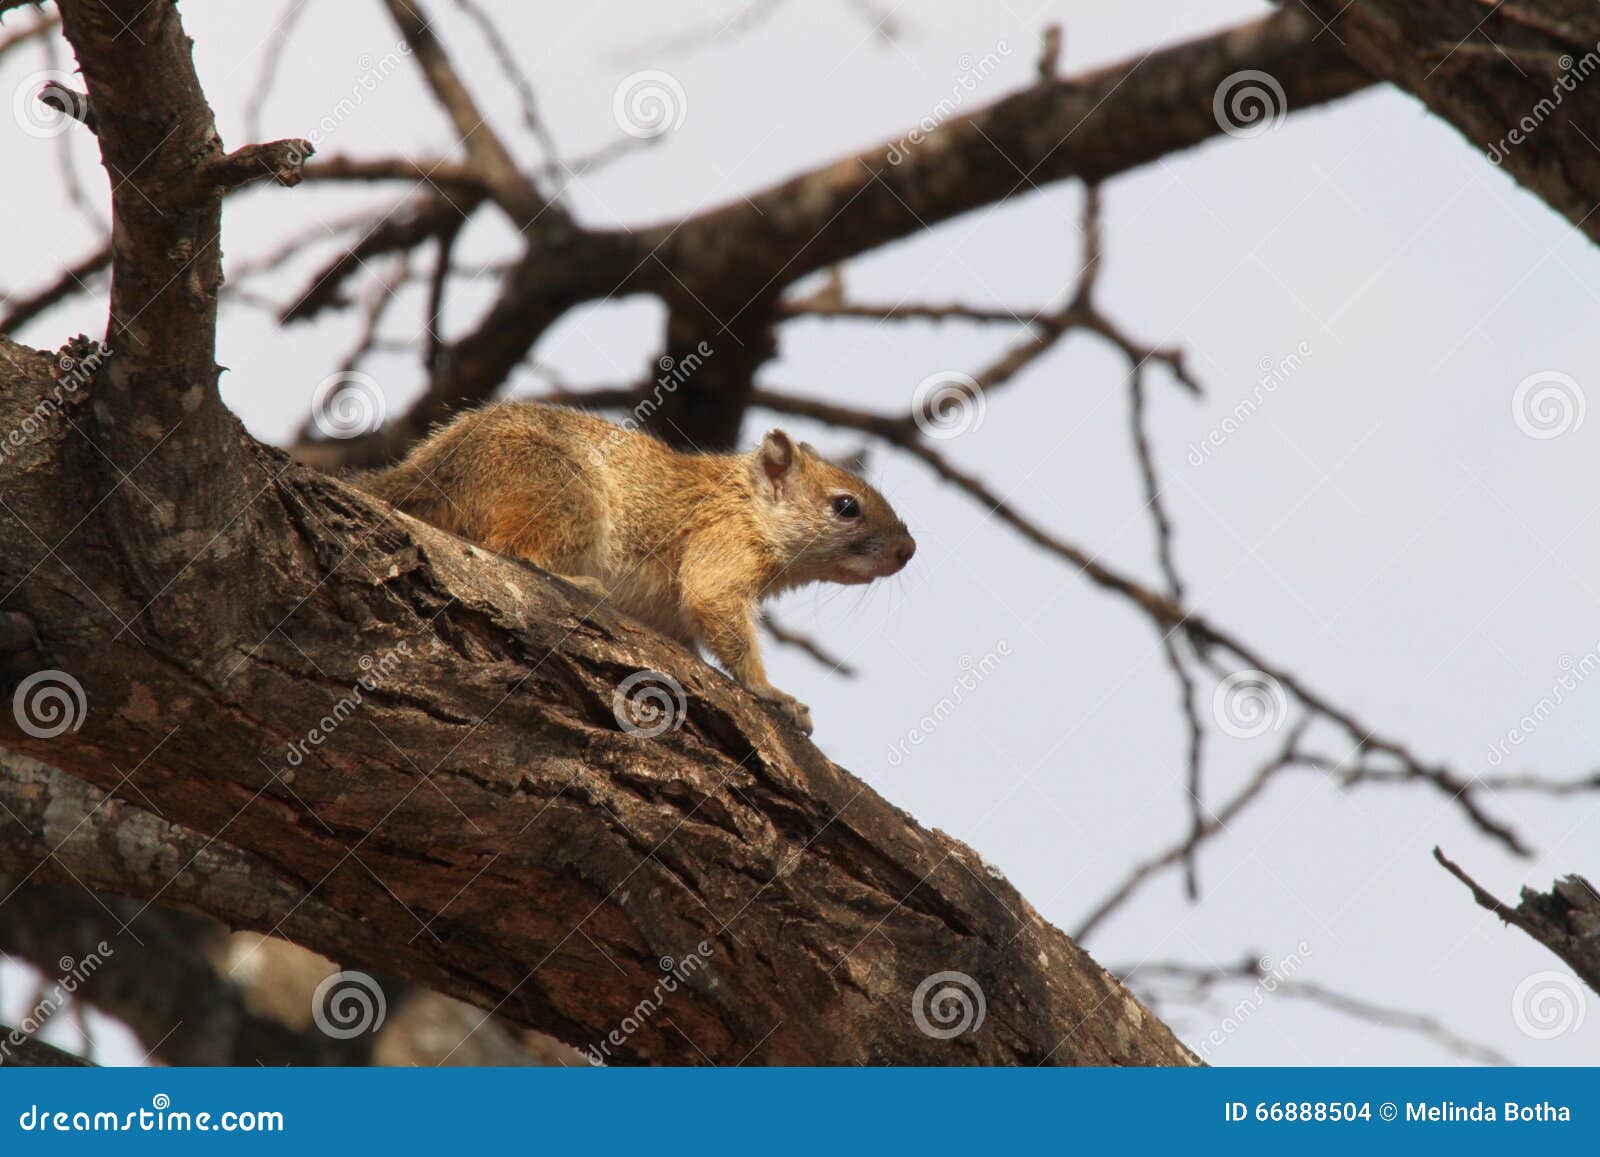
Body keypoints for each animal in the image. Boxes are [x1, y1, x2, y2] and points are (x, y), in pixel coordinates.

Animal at [354, 403, 916, 734]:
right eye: (845, 506)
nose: (907, 550)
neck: (746, 504)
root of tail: (429, 474)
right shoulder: (722, 546)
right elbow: (716, 607)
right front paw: (772, 694)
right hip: (563, 494)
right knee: (509, 547)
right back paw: (576, 582)